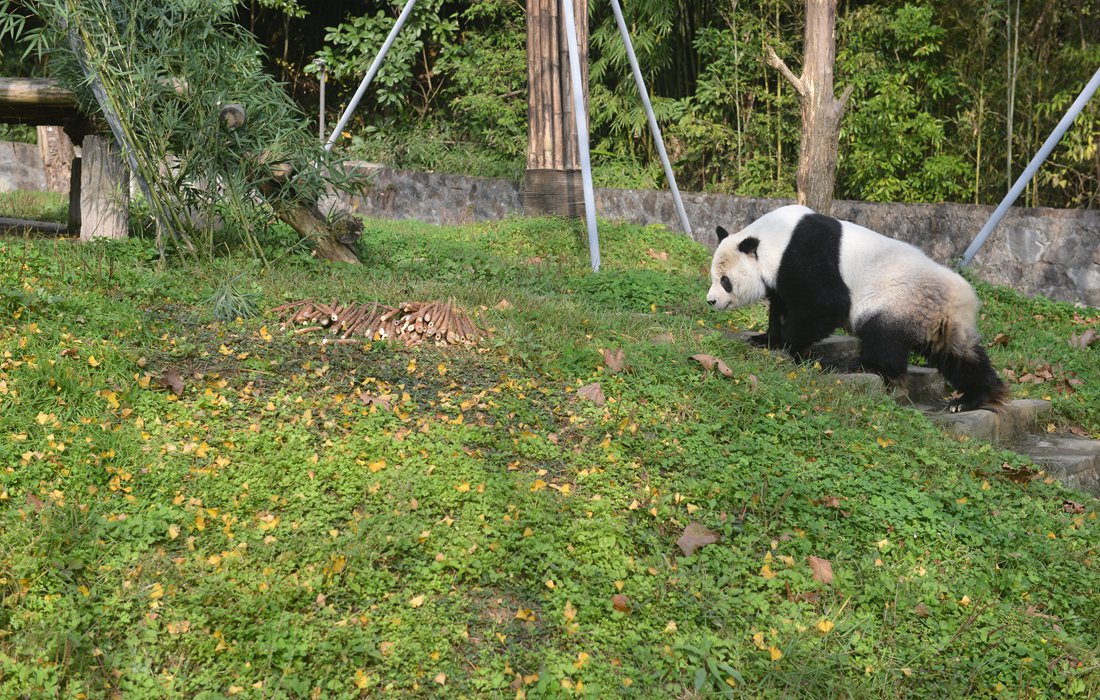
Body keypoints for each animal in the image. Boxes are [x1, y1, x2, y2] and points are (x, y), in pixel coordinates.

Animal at [706, 205, 1007, 412]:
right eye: (713, 276)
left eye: (725, 281)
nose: (711, 301)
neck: (774, 239)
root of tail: (961, 299)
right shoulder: (780, 276)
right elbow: (780, 306)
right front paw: (766, 339)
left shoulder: (806, 258)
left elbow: (825, 305)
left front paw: (791, 346)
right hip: (939, 318)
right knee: (958, 355)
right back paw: (974, 396)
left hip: (897, 299)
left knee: (882, 336)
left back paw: (866, 366)